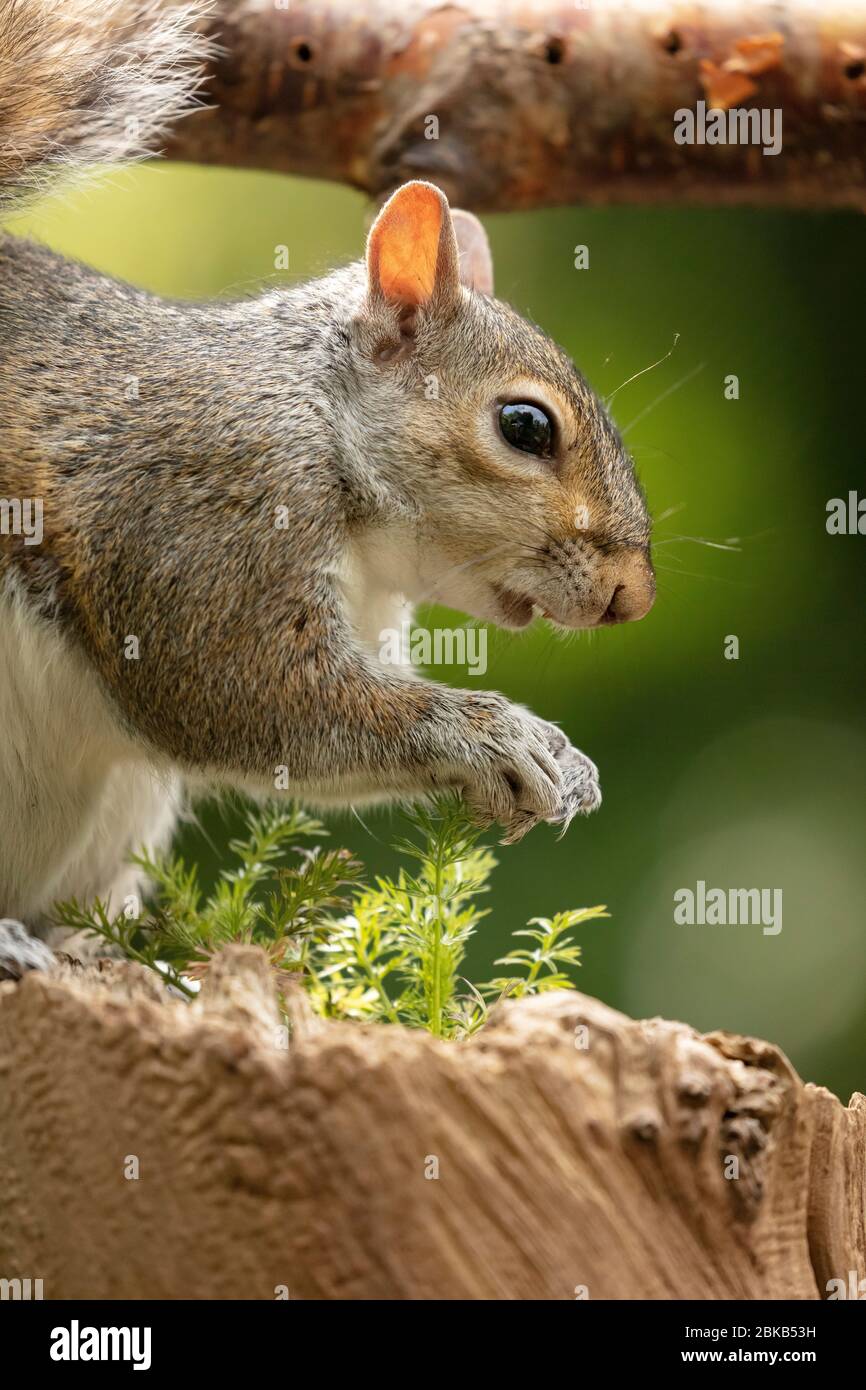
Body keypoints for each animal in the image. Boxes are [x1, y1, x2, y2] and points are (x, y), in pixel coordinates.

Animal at [0, 0, 654, 975]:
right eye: (526, 427)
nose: (632, 596)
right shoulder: (206, 505)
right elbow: (253, 693)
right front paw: (498, 733)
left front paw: (567, 764)